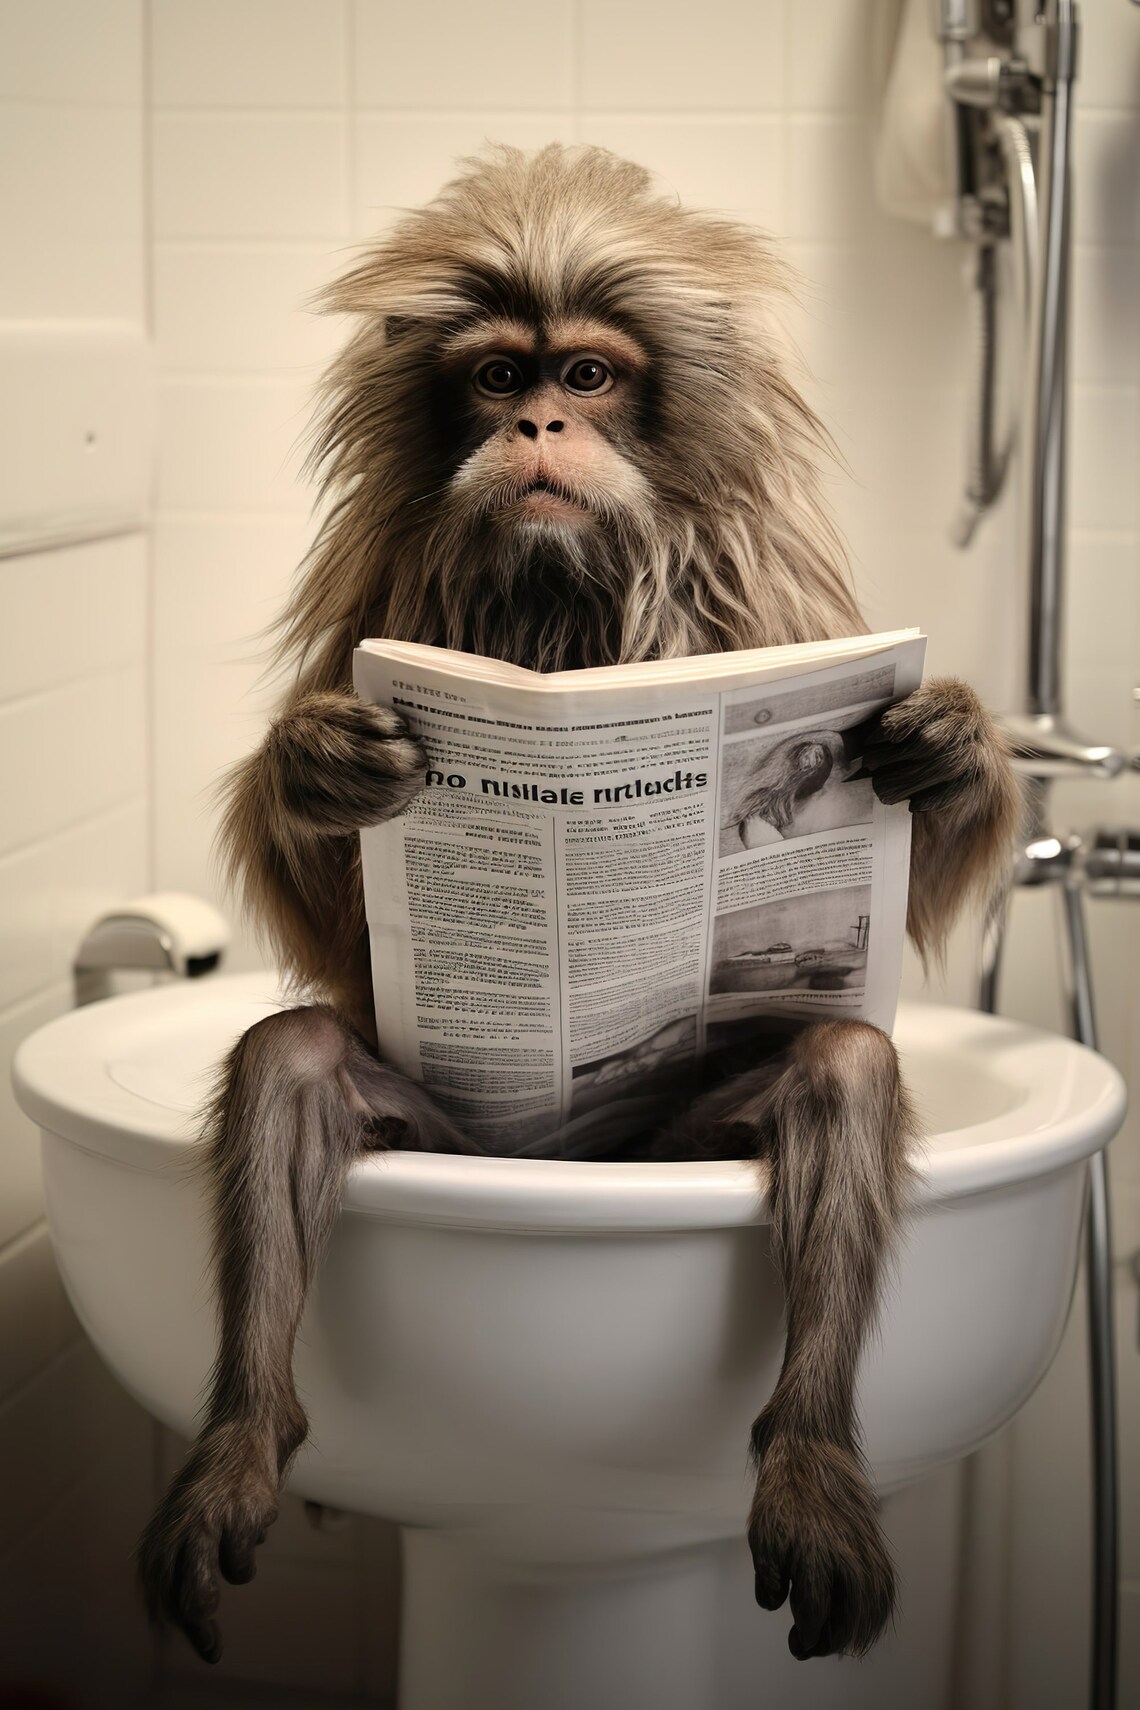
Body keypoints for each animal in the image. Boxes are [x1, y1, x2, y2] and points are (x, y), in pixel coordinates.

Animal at [136, 144, 1020, 1667]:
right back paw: (242, 1441)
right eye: (500, 376)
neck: (568, 600)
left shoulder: (764, 607)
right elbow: (328, 912)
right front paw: (317, 765)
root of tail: (565, 1169)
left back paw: (810, 1466)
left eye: (592, 375)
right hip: (468, 1142)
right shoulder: (379, 599)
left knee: (841, 1068)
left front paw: (949, 741)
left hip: (660, 1151)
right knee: (294, 1061)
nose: (542, 421)